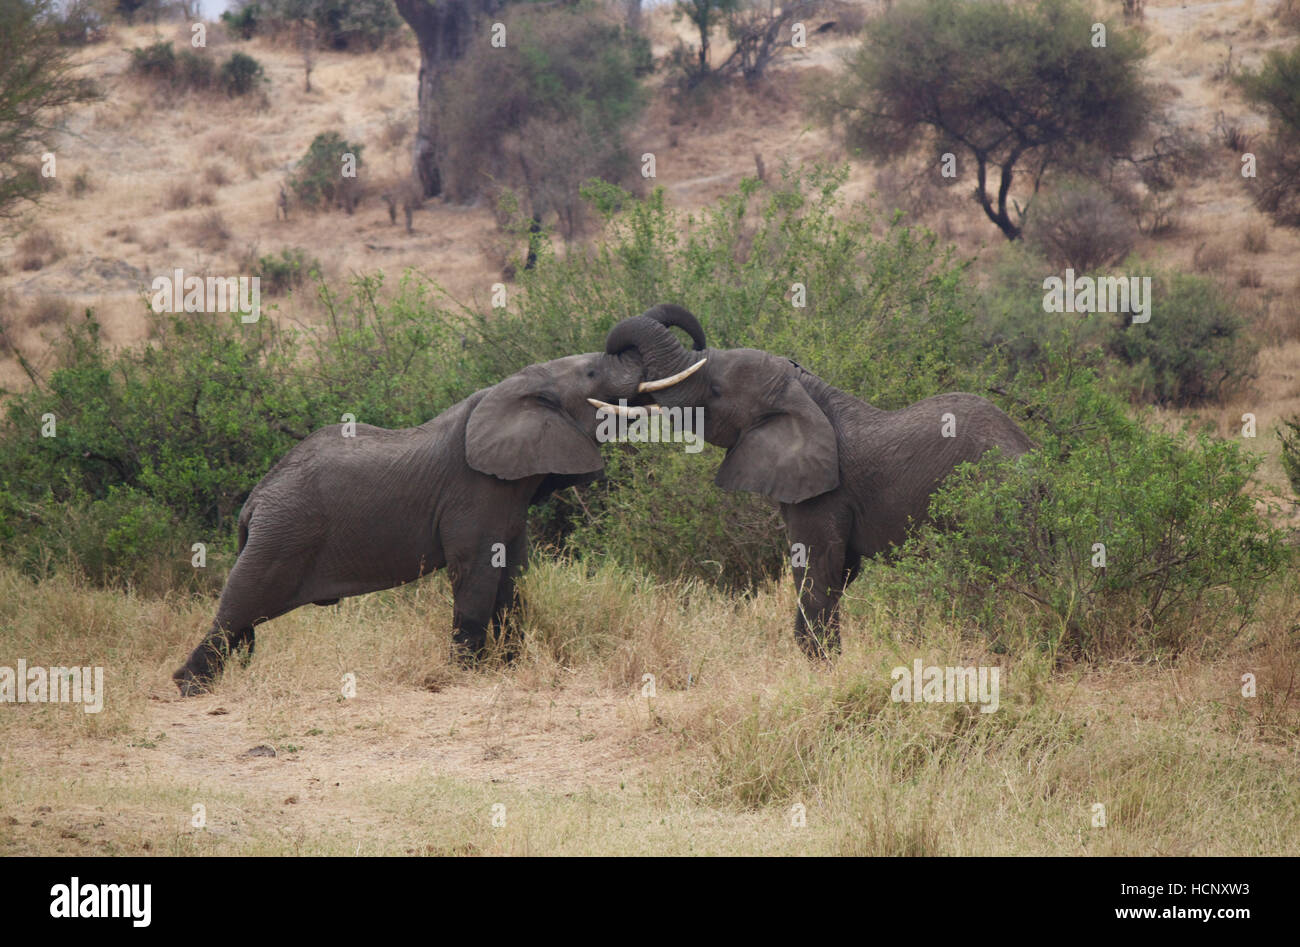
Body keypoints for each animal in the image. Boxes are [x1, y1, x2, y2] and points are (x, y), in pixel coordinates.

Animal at [172, 320, 708, 696]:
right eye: (594, 374)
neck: (513, 388)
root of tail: (253, 502)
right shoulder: (475, 491)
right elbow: (475, 576)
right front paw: (465, 674)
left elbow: (513, 579)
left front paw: (509, 666)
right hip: (284, 533)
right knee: (240, 604)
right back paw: (189, 686)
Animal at [594, 304, 1034, 659]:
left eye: (715, 391)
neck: (804, 390)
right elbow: (841, 572)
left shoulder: (825, 493)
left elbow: (816, 566)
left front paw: (819, 662)